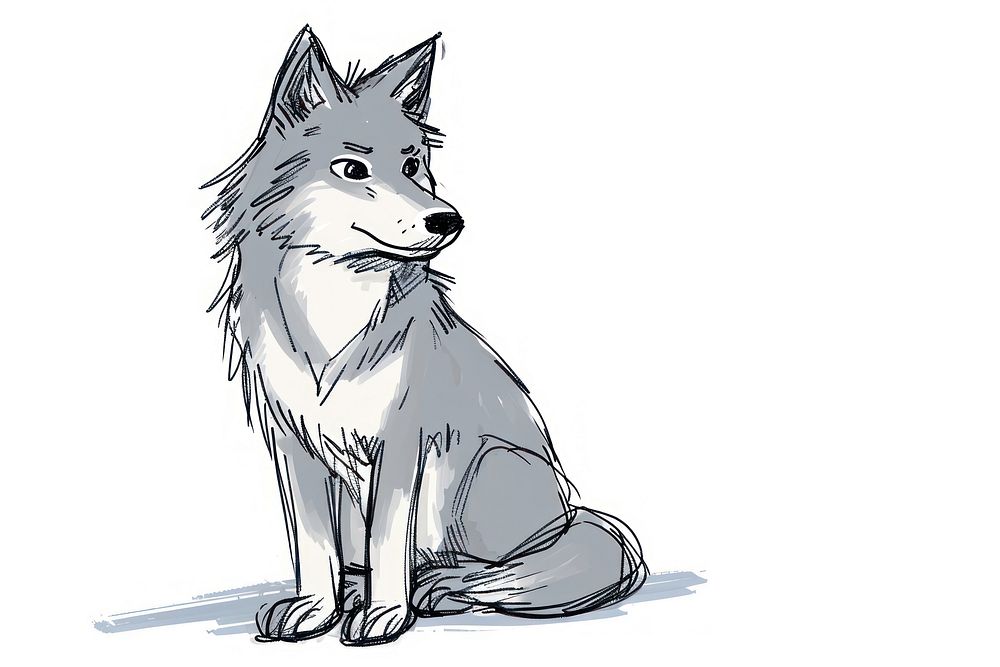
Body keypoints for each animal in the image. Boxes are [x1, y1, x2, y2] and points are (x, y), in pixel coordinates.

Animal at [201, 26, 647, 646]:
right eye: (353, 170)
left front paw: (386, 613)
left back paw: (434, 589)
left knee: (499, 568)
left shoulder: (403, 438)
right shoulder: (293, 442)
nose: (448, 220)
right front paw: (315, 607)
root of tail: (570, 512)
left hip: (481, 473)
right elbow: (313, 543)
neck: (335, 297)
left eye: (413, 164)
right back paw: (360, 589)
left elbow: (389, 538)